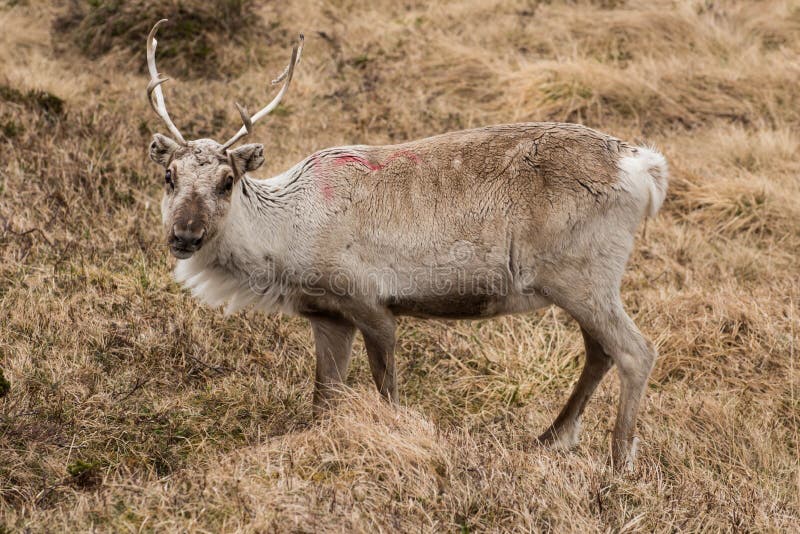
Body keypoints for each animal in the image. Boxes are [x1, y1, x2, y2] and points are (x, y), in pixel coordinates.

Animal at [144, 20, 668, 469]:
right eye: (169, 175)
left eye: (227, 181)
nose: (185, 236)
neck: (287, 239)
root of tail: (645, 167)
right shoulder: (327, 315)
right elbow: (323, 400)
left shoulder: (370, 302)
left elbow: (386, 392)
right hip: (583, 280)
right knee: (600, 351)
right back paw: (551, 438)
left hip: (582, 273)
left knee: (635, 351)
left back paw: (618, 462)